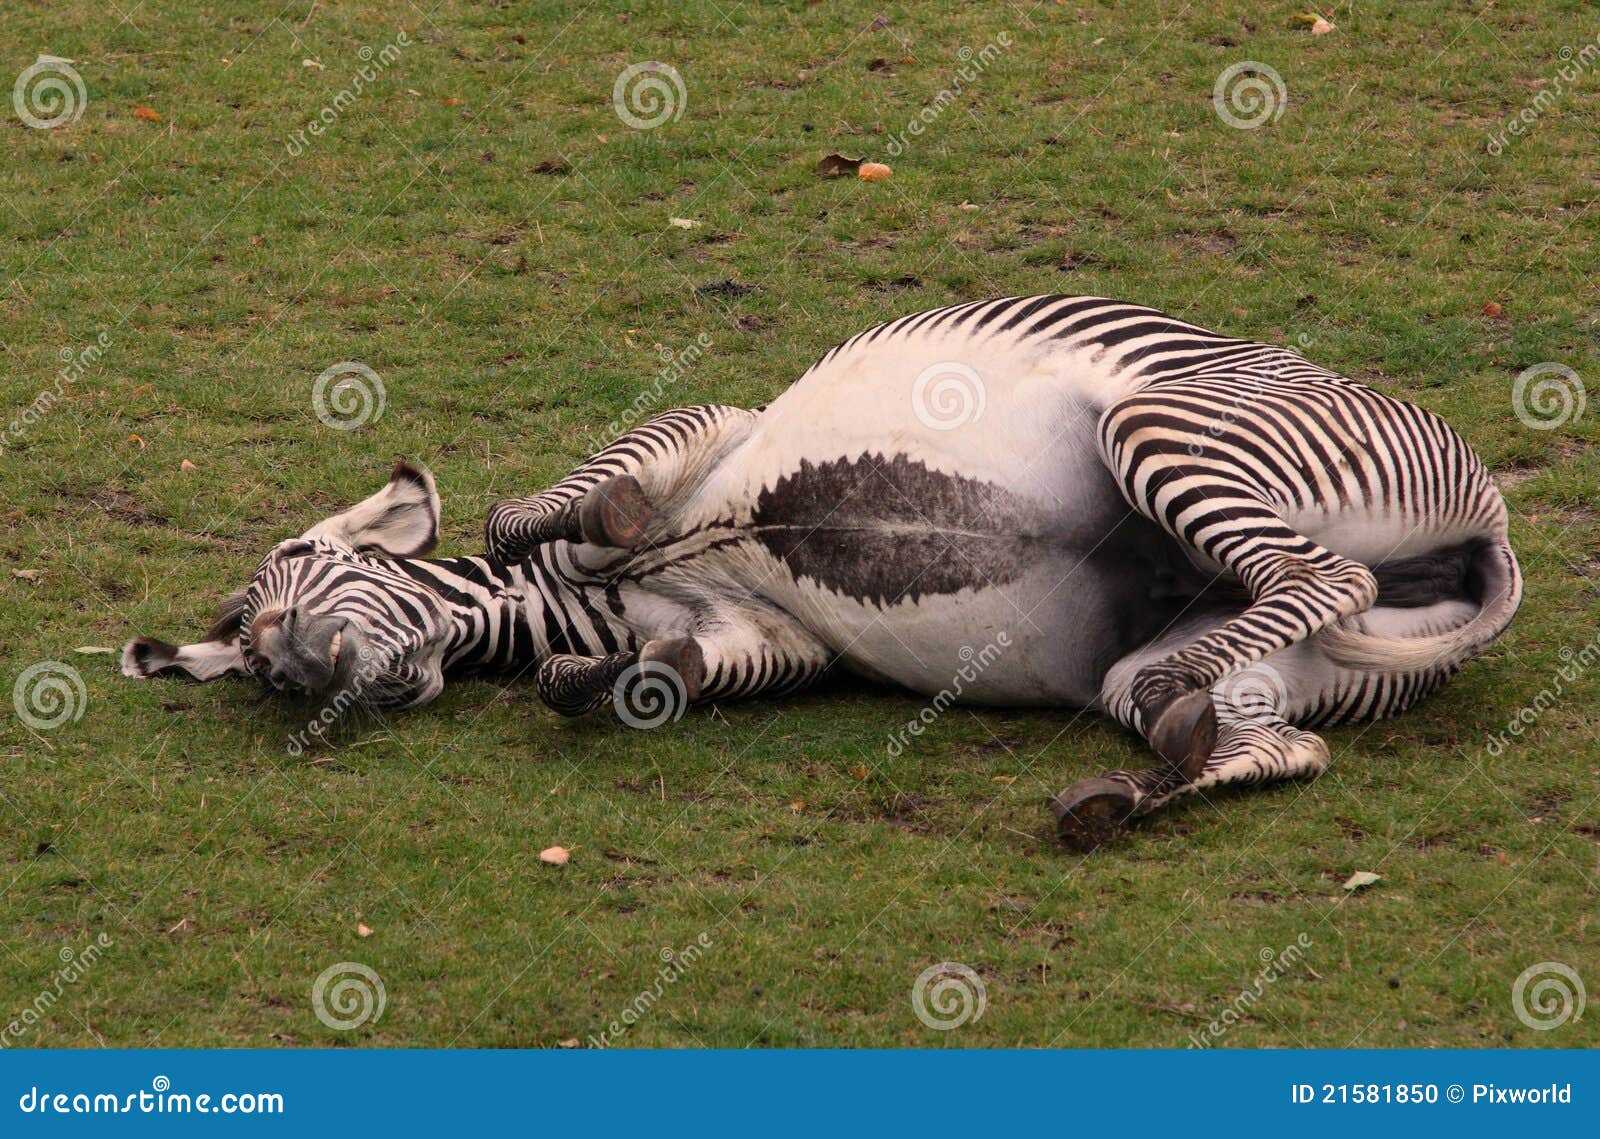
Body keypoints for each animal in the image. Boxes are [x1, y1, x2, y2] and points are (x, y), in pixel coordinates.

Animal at [123, 295, 1521, 850]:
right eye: (258, 670)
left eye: (293, 570)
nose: (295, 667)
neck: (614, 597)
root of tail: (1488, 516)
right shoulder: (770, 641)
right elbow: (658, 670)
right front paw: (605, 674)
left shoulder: (710, 423)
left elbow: (552, 508)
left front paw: (592, 533)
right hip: (1200, 675)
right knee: (1276, 737)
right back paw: (1134, 780)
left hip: (1163, 427)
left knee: (1326, 577)